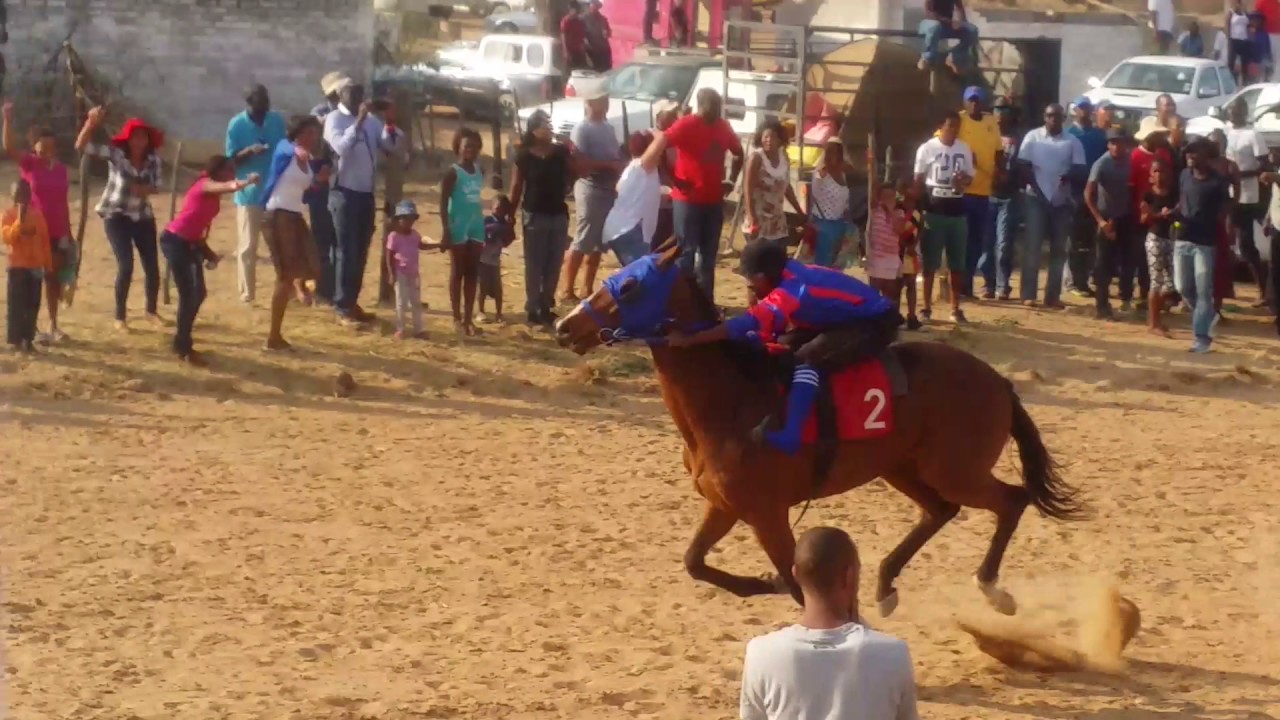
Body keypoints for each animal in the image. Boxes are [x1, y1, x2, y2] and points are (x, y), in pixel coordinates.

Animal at [554, 241, 1086, 616]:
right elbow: (695, 563)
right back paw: (886, 584)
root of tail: (998, 381)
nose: (565, 326)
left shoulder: (767, 513)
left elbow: (794, 581)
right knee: (941, 510)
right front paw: (758, 584)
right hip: (902, 466)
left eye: (629, 286)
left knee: (1010, 500)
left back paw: (992, 588)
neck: (730, 401)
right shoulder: (726, 506)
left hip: (955, 468)